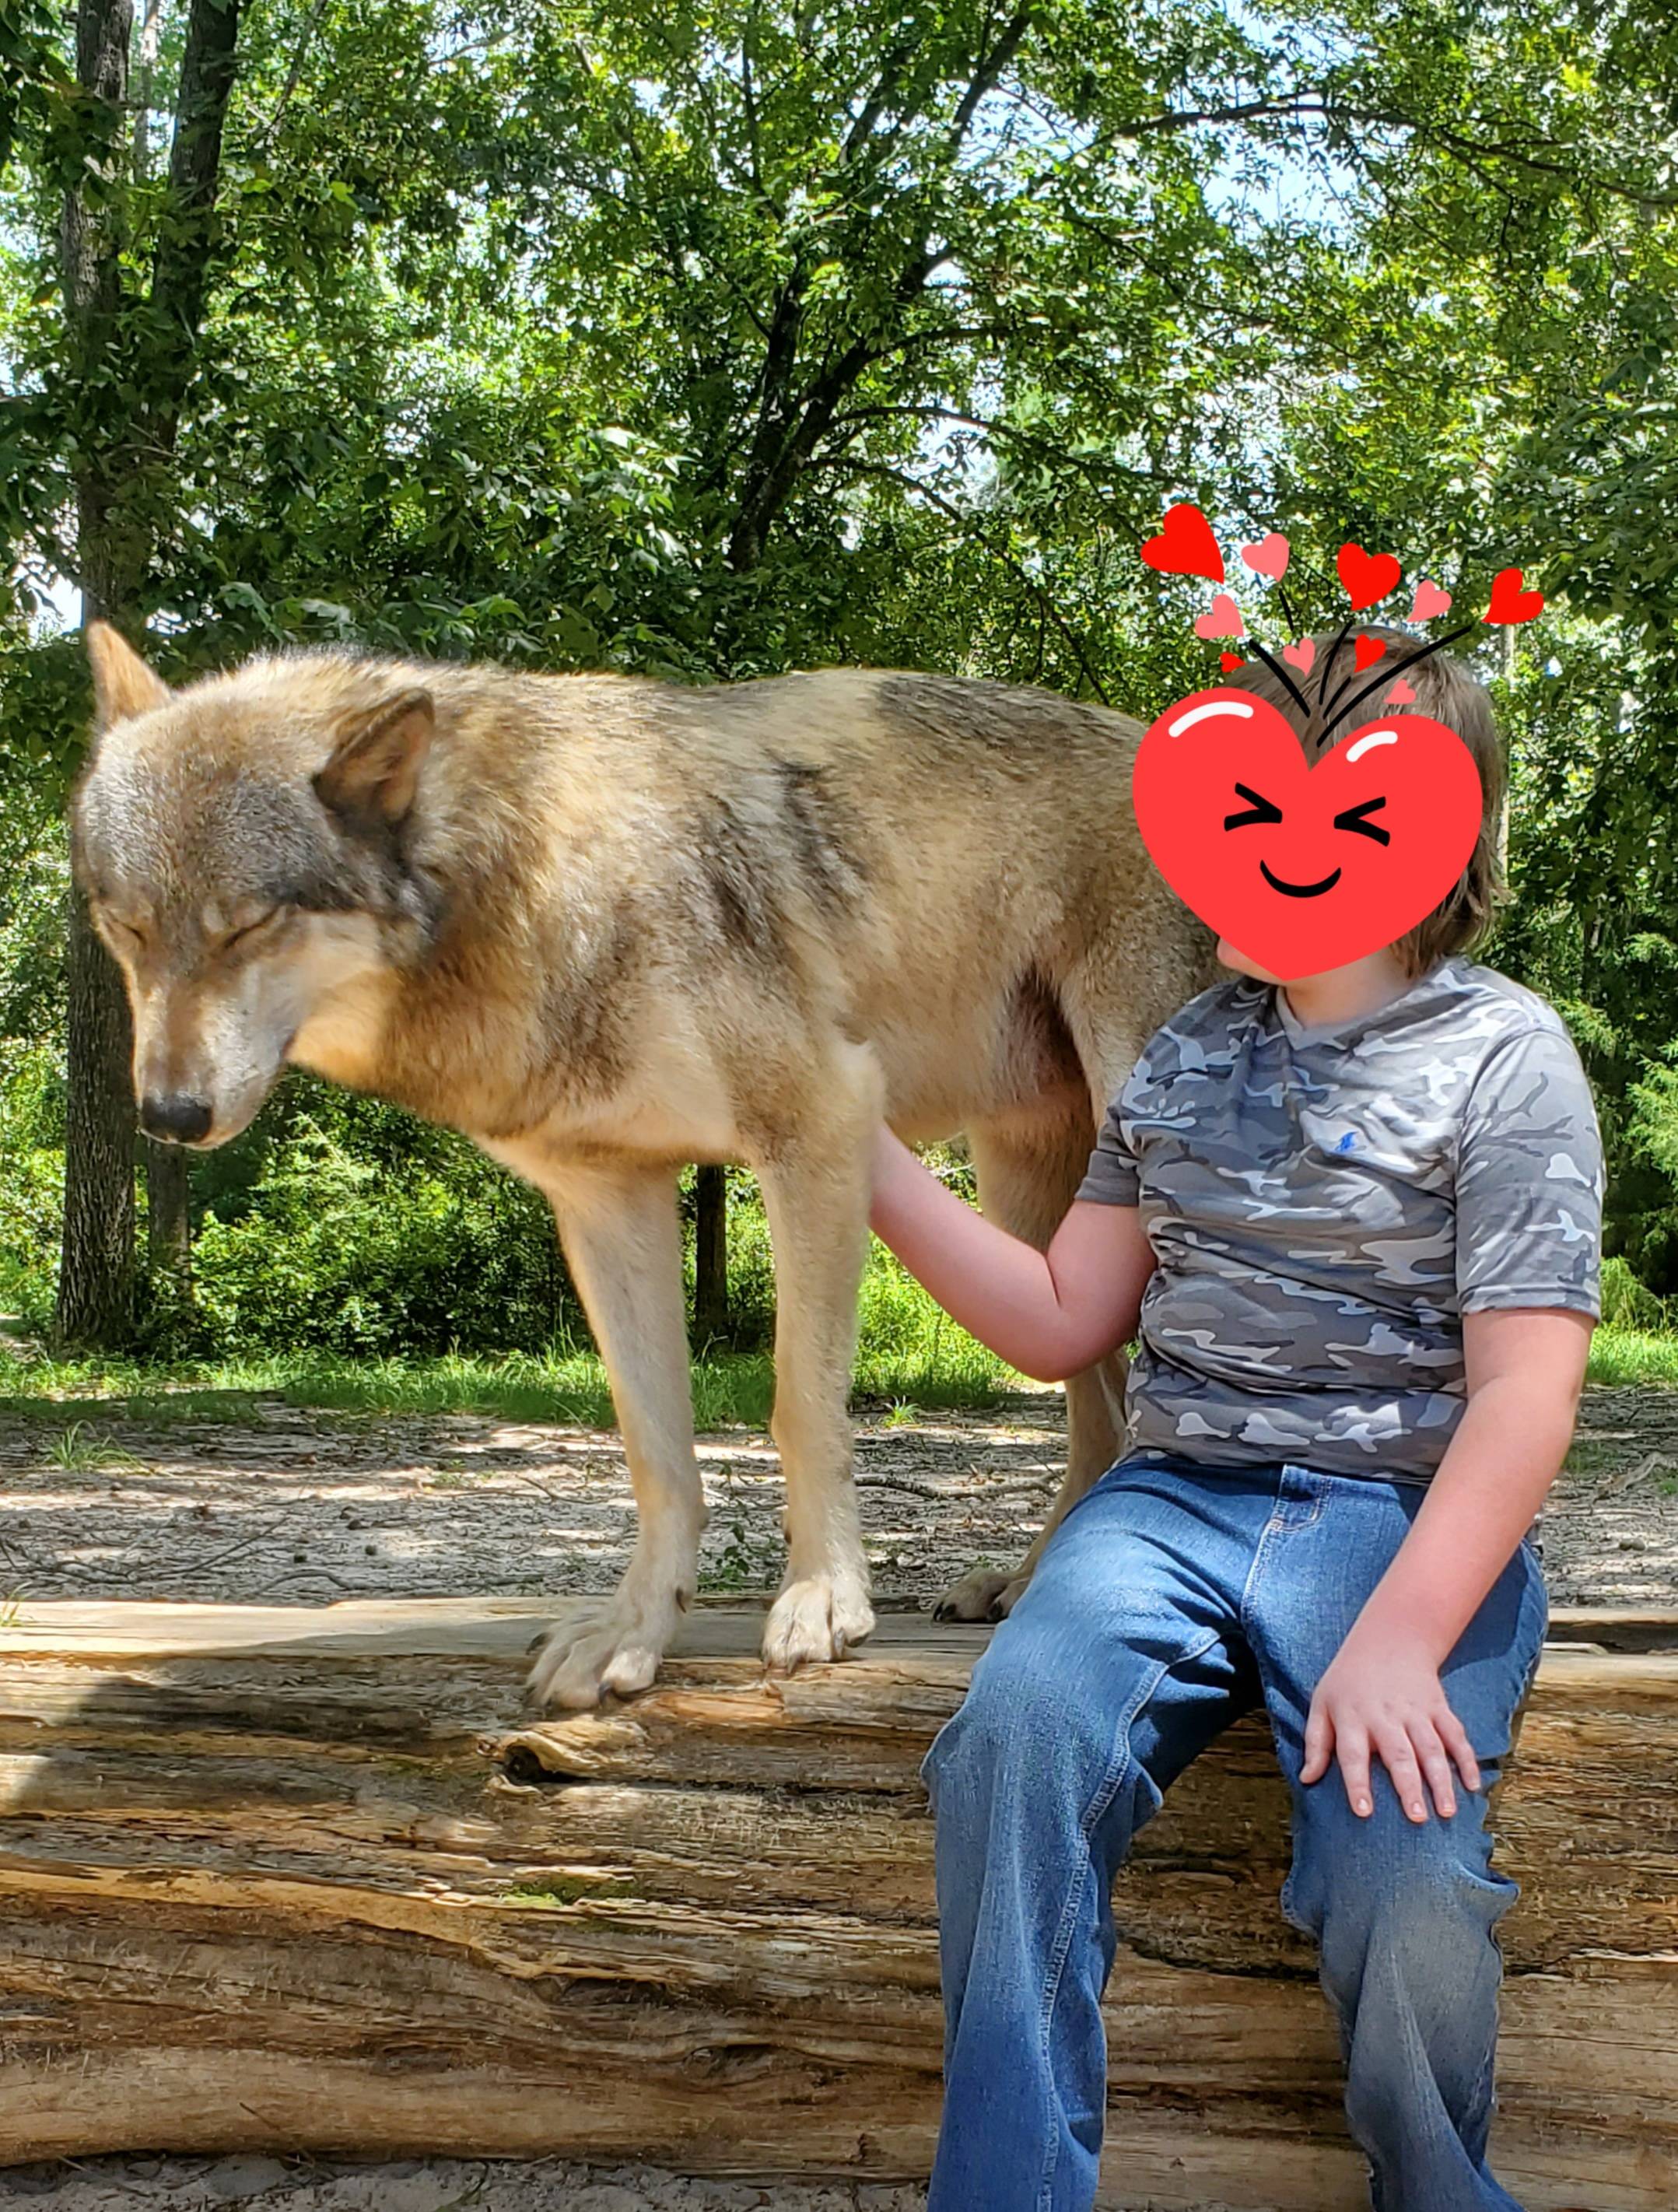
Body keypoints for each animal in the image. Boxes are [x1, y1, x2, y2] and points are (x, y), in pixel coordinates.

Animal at [71, 623, 1214, 1707]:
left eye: (248, 925)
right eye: (125, 927)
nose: (168, 1114)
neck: (528, 882)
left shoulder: (821, 1125)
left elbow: (801, 1404)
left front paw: (822, 1598)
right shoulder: (606, 1196)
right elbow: (655, 1449)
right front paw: (635, 1627)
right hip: (1033, 1218)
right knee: (1099, 1402)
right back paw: (1029, 1580)